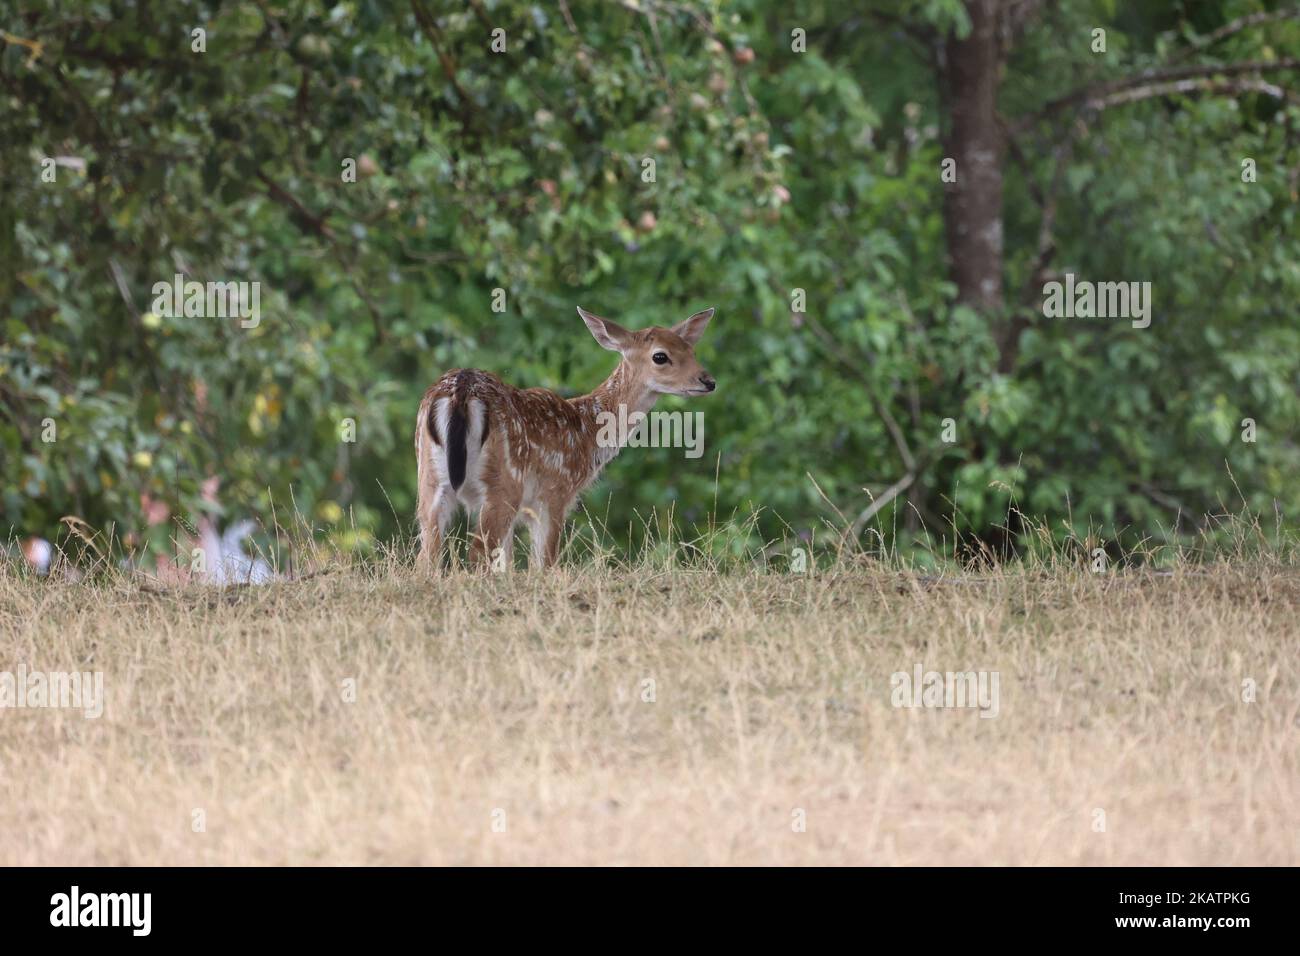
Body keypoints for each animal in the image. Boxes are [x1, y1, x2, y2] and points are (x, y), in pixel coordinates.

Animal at [415, 306, 716, 571]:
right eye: (660, 356)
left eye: (692, 350)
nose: (708, 381)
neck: (587, 430)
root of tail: (460, 392)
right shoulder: (555, 492)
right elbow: (545, 563)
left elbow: (509, 564)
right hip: (503, 483)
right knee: (478, 551)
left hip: (430, 478)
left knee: (427, 555)